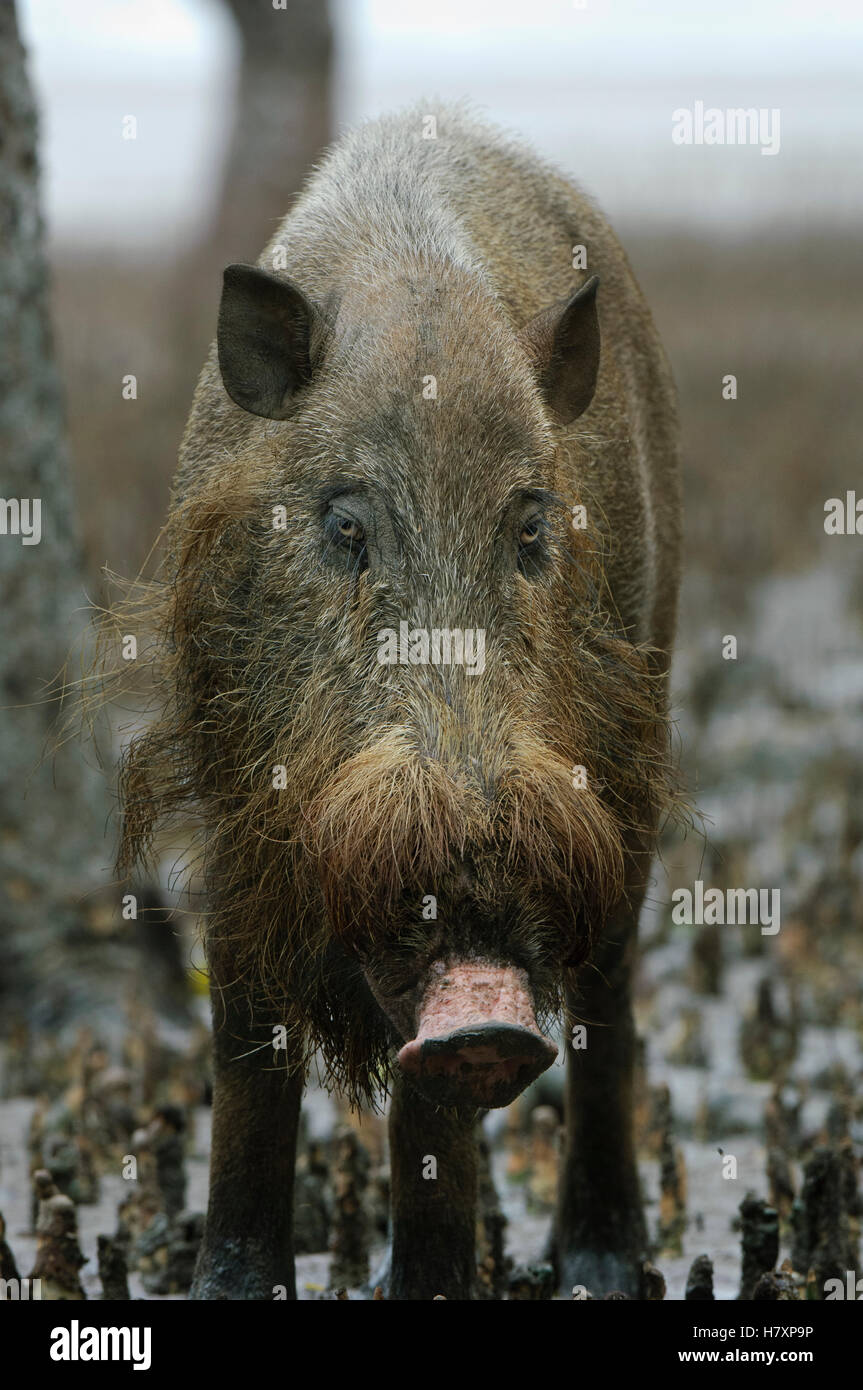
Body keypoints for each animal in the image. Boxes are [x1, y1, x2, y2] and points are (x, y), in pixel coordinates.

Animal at [117, 103, 681, 1299]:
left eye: (530, 527)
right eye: (344, 526)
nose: (485, 1016)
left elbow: (433, 1110)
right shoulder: (236, 800)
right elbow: (245, 1047)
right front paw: (227, 1289)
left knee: (608, 1005)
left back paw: (602, 1267)